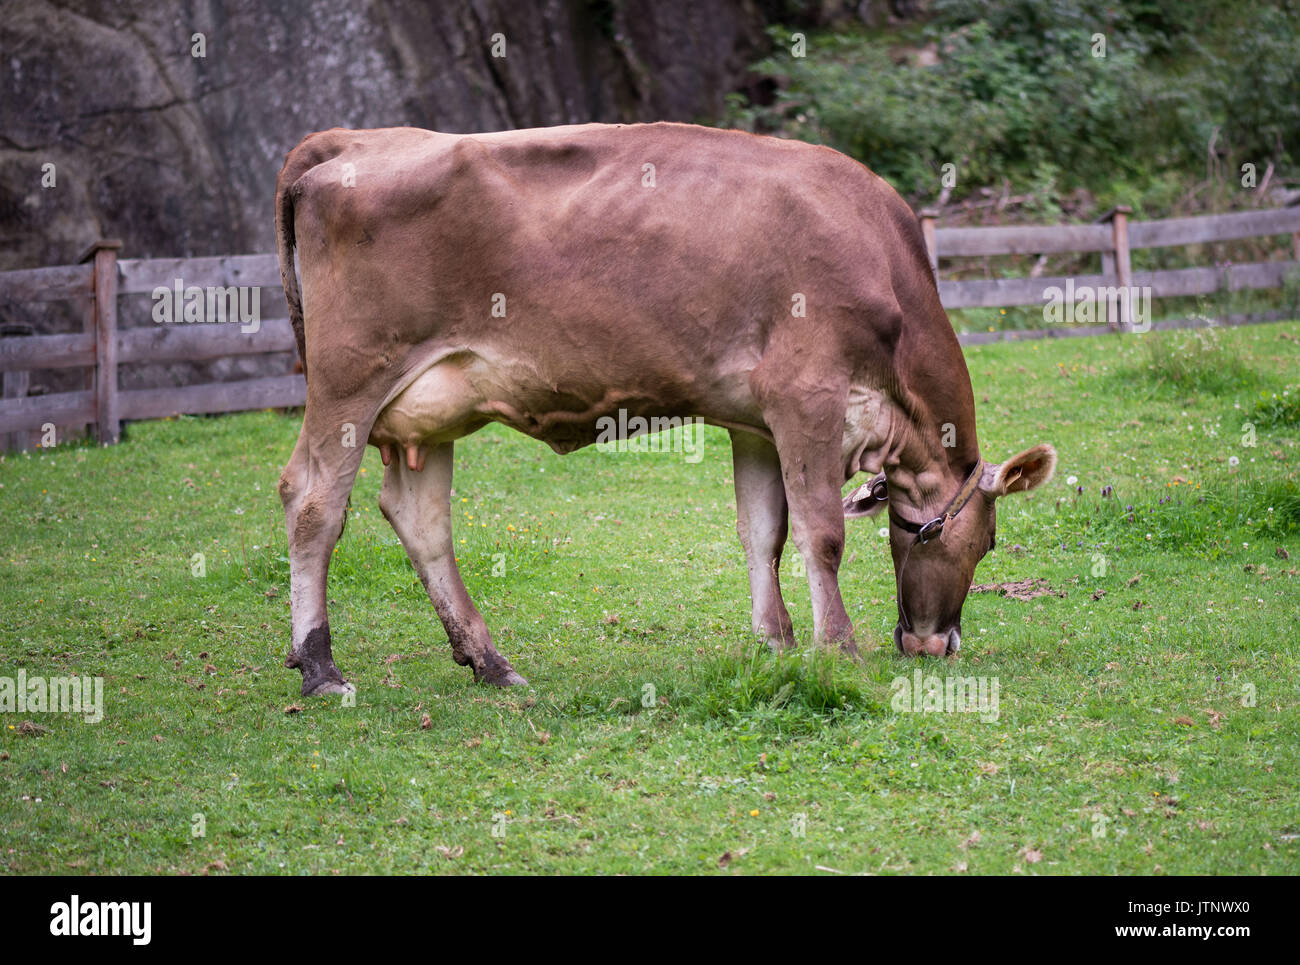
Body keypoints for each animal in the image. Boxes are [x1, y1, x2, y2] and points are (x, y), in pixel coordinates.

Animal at [274, 122, 1056, 696]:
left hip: (429, 408)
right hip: (350, 380)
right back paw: (320, 667)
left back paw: (490, 662)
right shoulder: (807, 394)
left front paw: (775, 645)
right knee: (311, 500)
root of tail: (346, 140)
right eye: (986, 543)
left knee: (421, 519)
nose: (934, 643)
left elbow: (763, 532)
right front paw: (839, 651)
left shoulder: (754, 420)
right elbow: (821, 533)